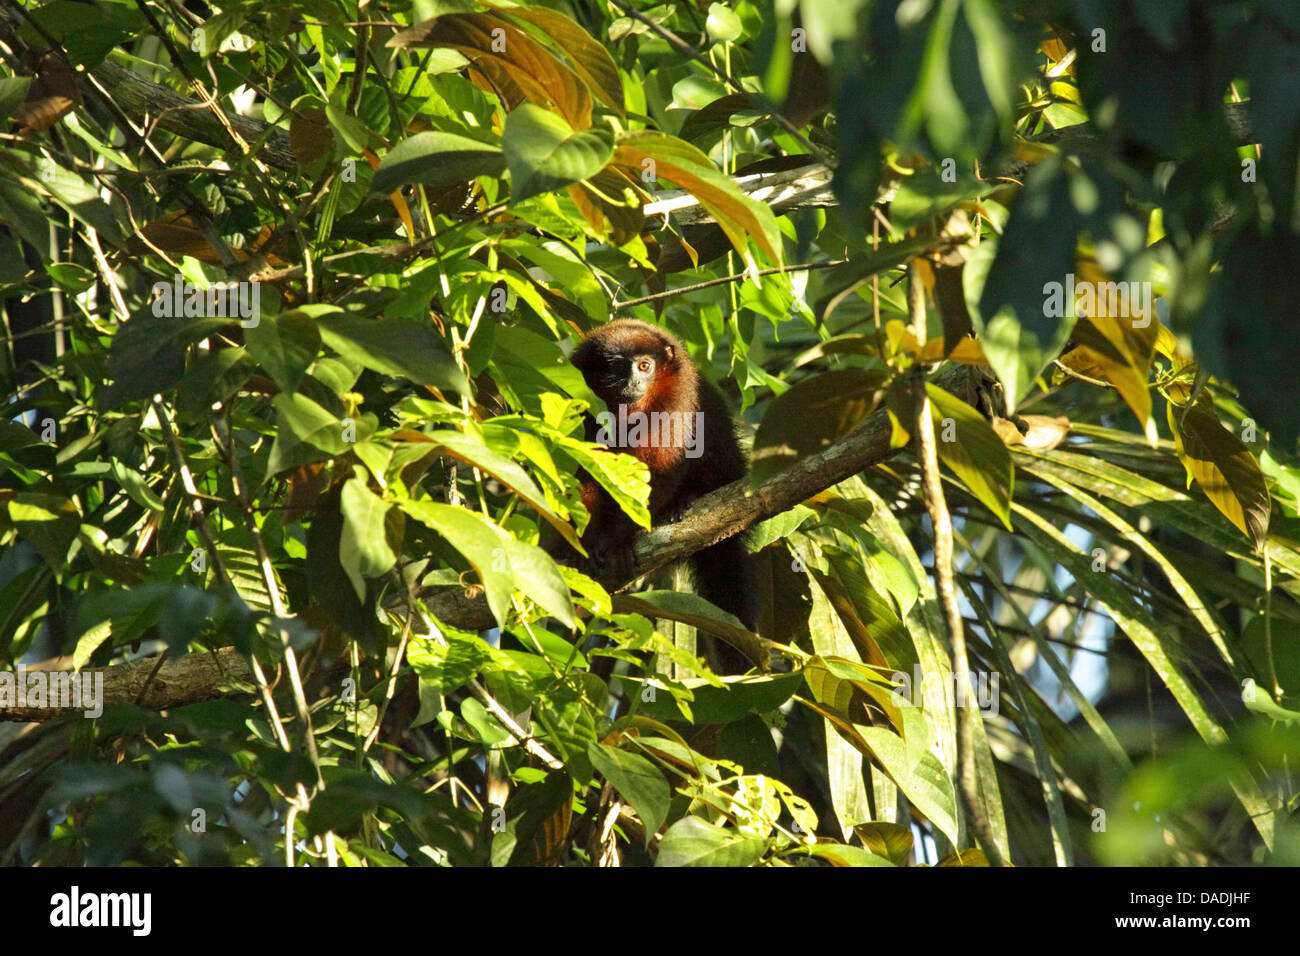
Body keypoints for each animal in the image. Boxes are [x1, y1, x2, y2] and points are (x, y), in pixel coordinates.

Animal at [569, 319, 755, 673]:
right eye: (616, 367)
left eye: (645, 366)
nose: (634, 381)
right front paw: (582, 545)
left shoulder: (678, 394)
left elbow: (661, 466)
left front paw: (620, 541)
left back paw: (683, 502)